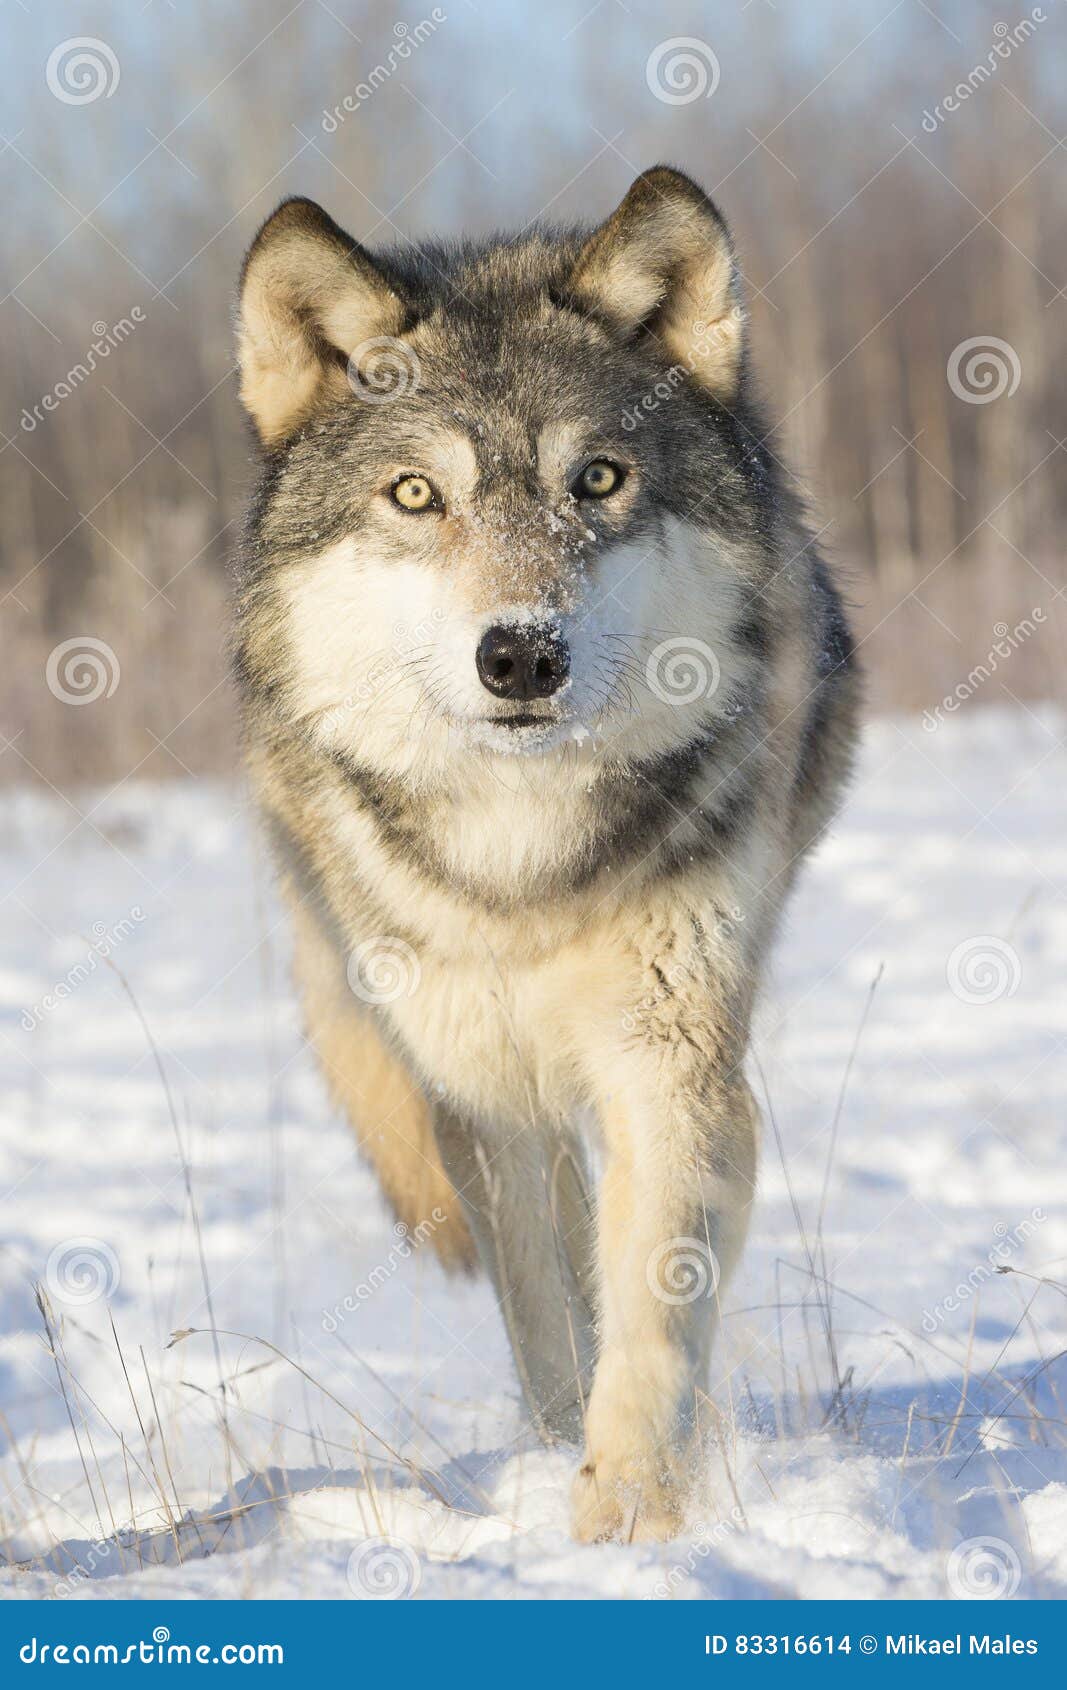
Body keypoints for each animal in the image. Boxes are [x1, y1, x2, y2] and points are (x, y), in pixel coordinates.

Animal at [232, 166, 859, 1542]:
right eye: (417, 494)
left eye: (600, 479)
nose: (519, 654)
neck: (520, 862)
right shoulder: (476, 1093)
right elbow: (540, 1309)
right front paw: (570, 1464)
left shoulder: (669, 1062)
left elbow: (654, 1312)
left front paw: (625, 1513)